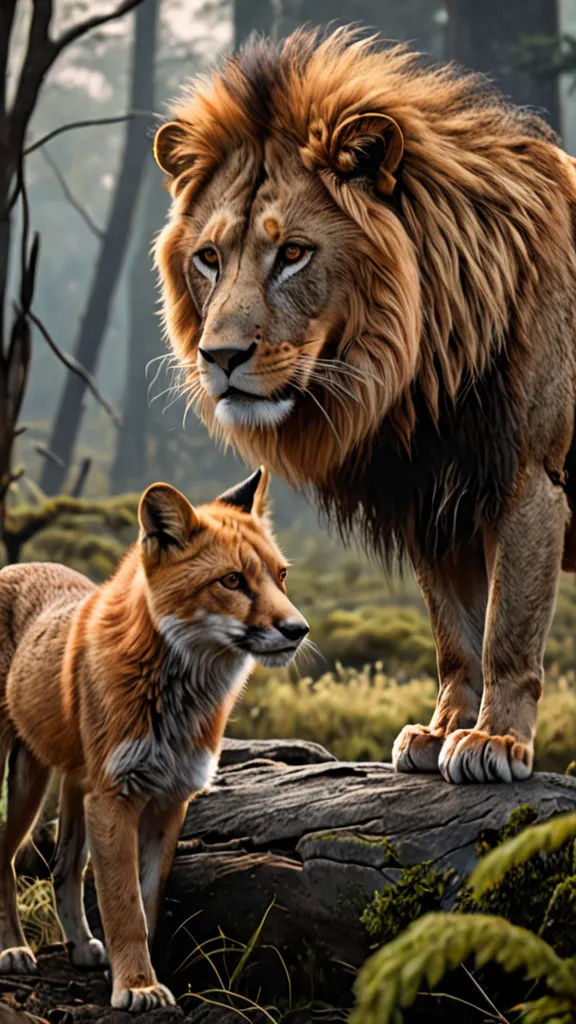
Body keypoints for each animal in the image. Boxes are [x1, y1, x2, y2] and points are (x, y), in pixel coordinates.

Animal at [0, 467, 308, 1011]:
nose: (299, 629)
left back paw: (81, 945)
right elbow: (123, 905)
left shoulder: (169, 799)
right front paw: (139, 986)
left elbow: (145, 904)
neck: (177, 705)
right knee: (4, 861)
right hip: (28, 783)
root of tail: (15, 565)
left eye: (281, 576)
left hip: (75, 784)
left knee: (63, 868)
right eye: (232, 581)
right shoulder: (116, 797)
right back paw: (14, 948)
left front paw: (127, 974)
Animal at [153, 27, 576, 784]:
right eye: (209, 258)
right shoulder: (433, 496)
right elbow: (455, 634)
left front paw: (495, 741)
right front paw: (442, 732)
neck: (420, 366)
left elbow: (508, 628)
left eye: (292, 253)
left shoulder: (528, 477)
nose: (220, 356)